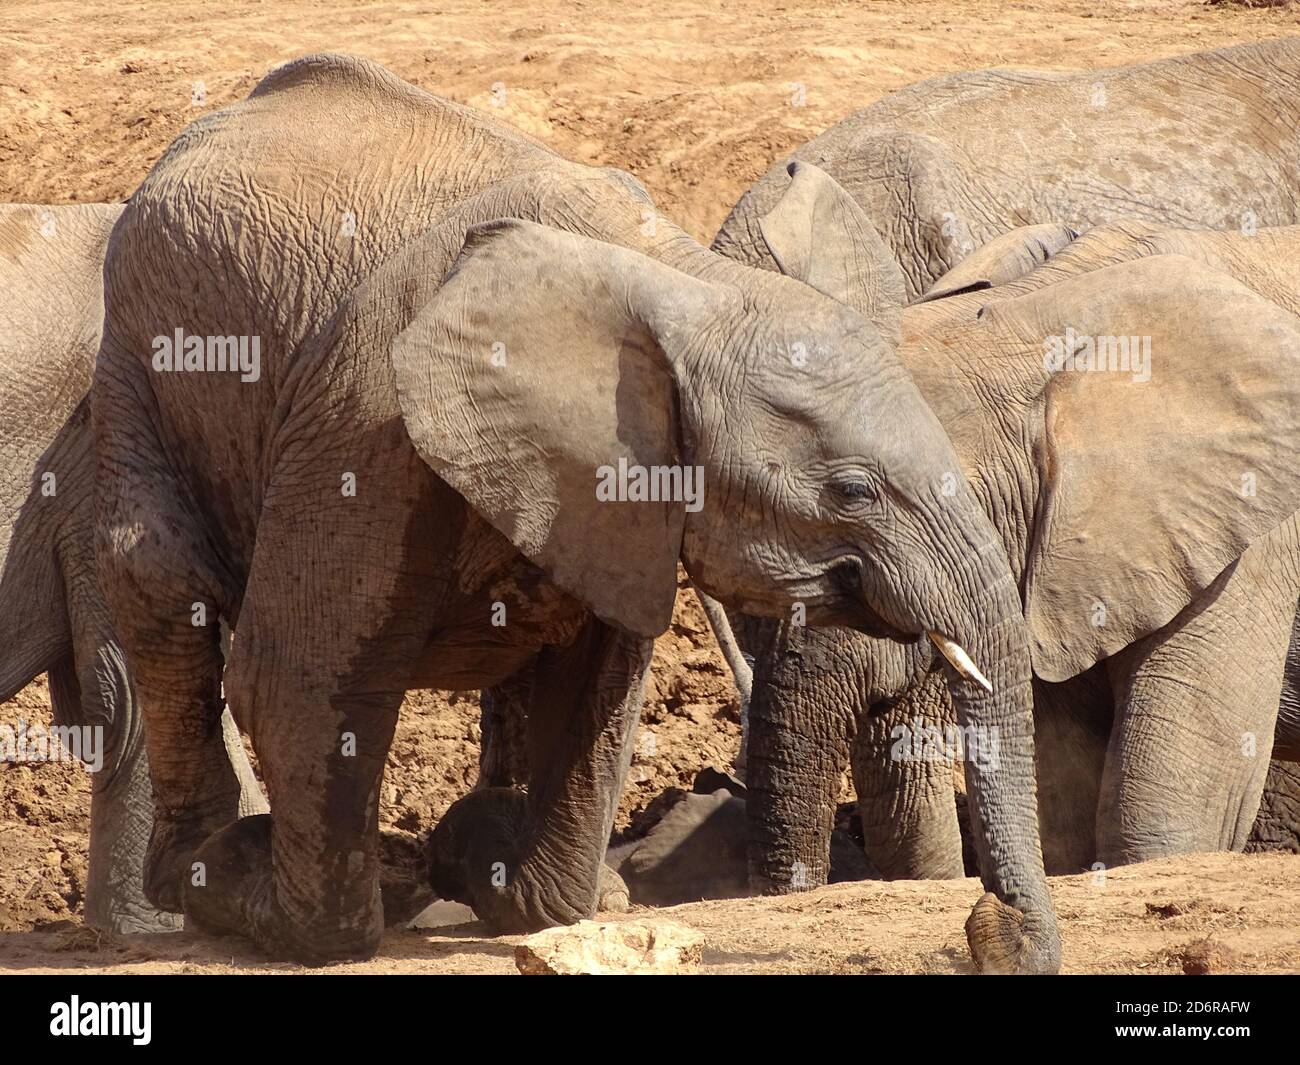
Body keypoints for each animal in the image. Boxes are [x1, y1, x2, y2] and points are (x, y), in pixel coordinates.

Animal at [92, 53, 1060, 971]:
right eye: (853, 491)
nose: (995, 929)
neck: (685, 280)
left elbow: (594, 690)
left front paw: (479, 850)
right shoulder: (362, 419)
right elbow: (294, 680)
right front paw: (261, 881)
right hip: (137, 371)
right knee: (161, 587)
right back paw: (191, 871)